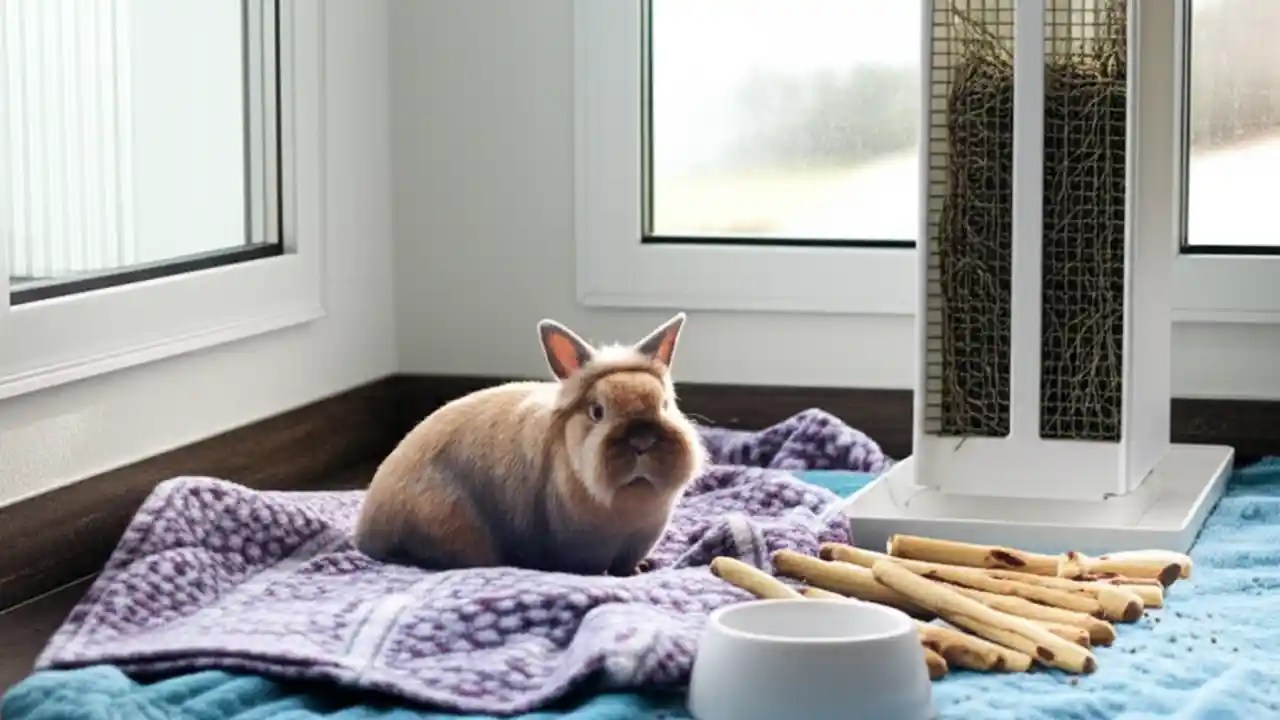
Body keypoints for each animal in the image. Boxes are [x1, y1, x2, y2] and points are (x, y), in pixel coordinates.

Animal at [353, 313, 705, 576]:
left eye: (663, 405)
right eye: (597, 411)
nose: (642, 440)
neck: (629, 500)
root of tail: (366, 531)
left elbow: (626, 565)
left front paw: (638, 570)